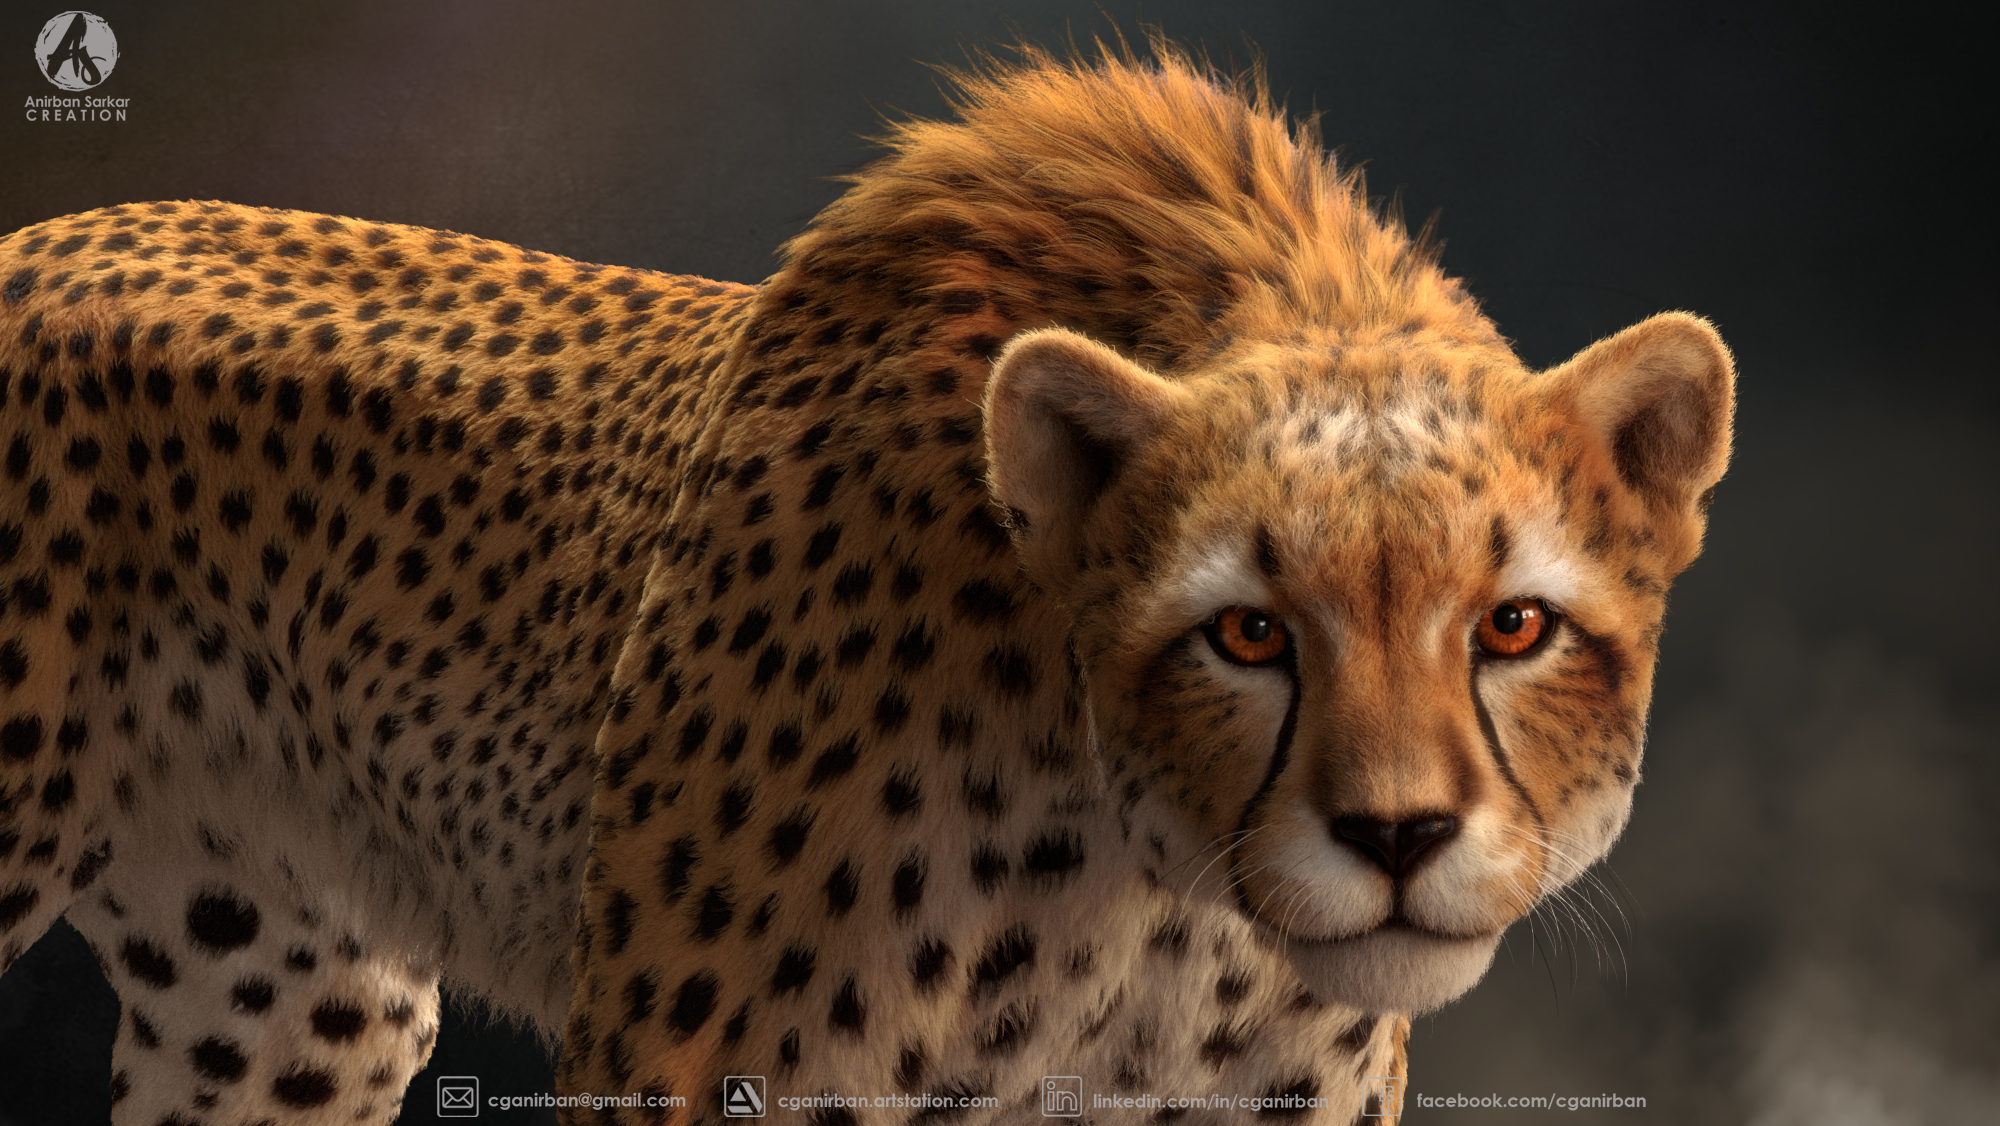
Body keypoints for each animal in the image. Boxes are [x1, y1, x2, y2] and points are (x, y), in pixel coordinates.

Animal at [0, 40, 1733, 1126]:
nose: (1395, 838)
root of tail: (58, 225)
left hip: (290, 1005)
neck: (1145, 883)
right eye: (1249, 630)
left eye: (1513, 624)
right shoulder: (695, 1067)